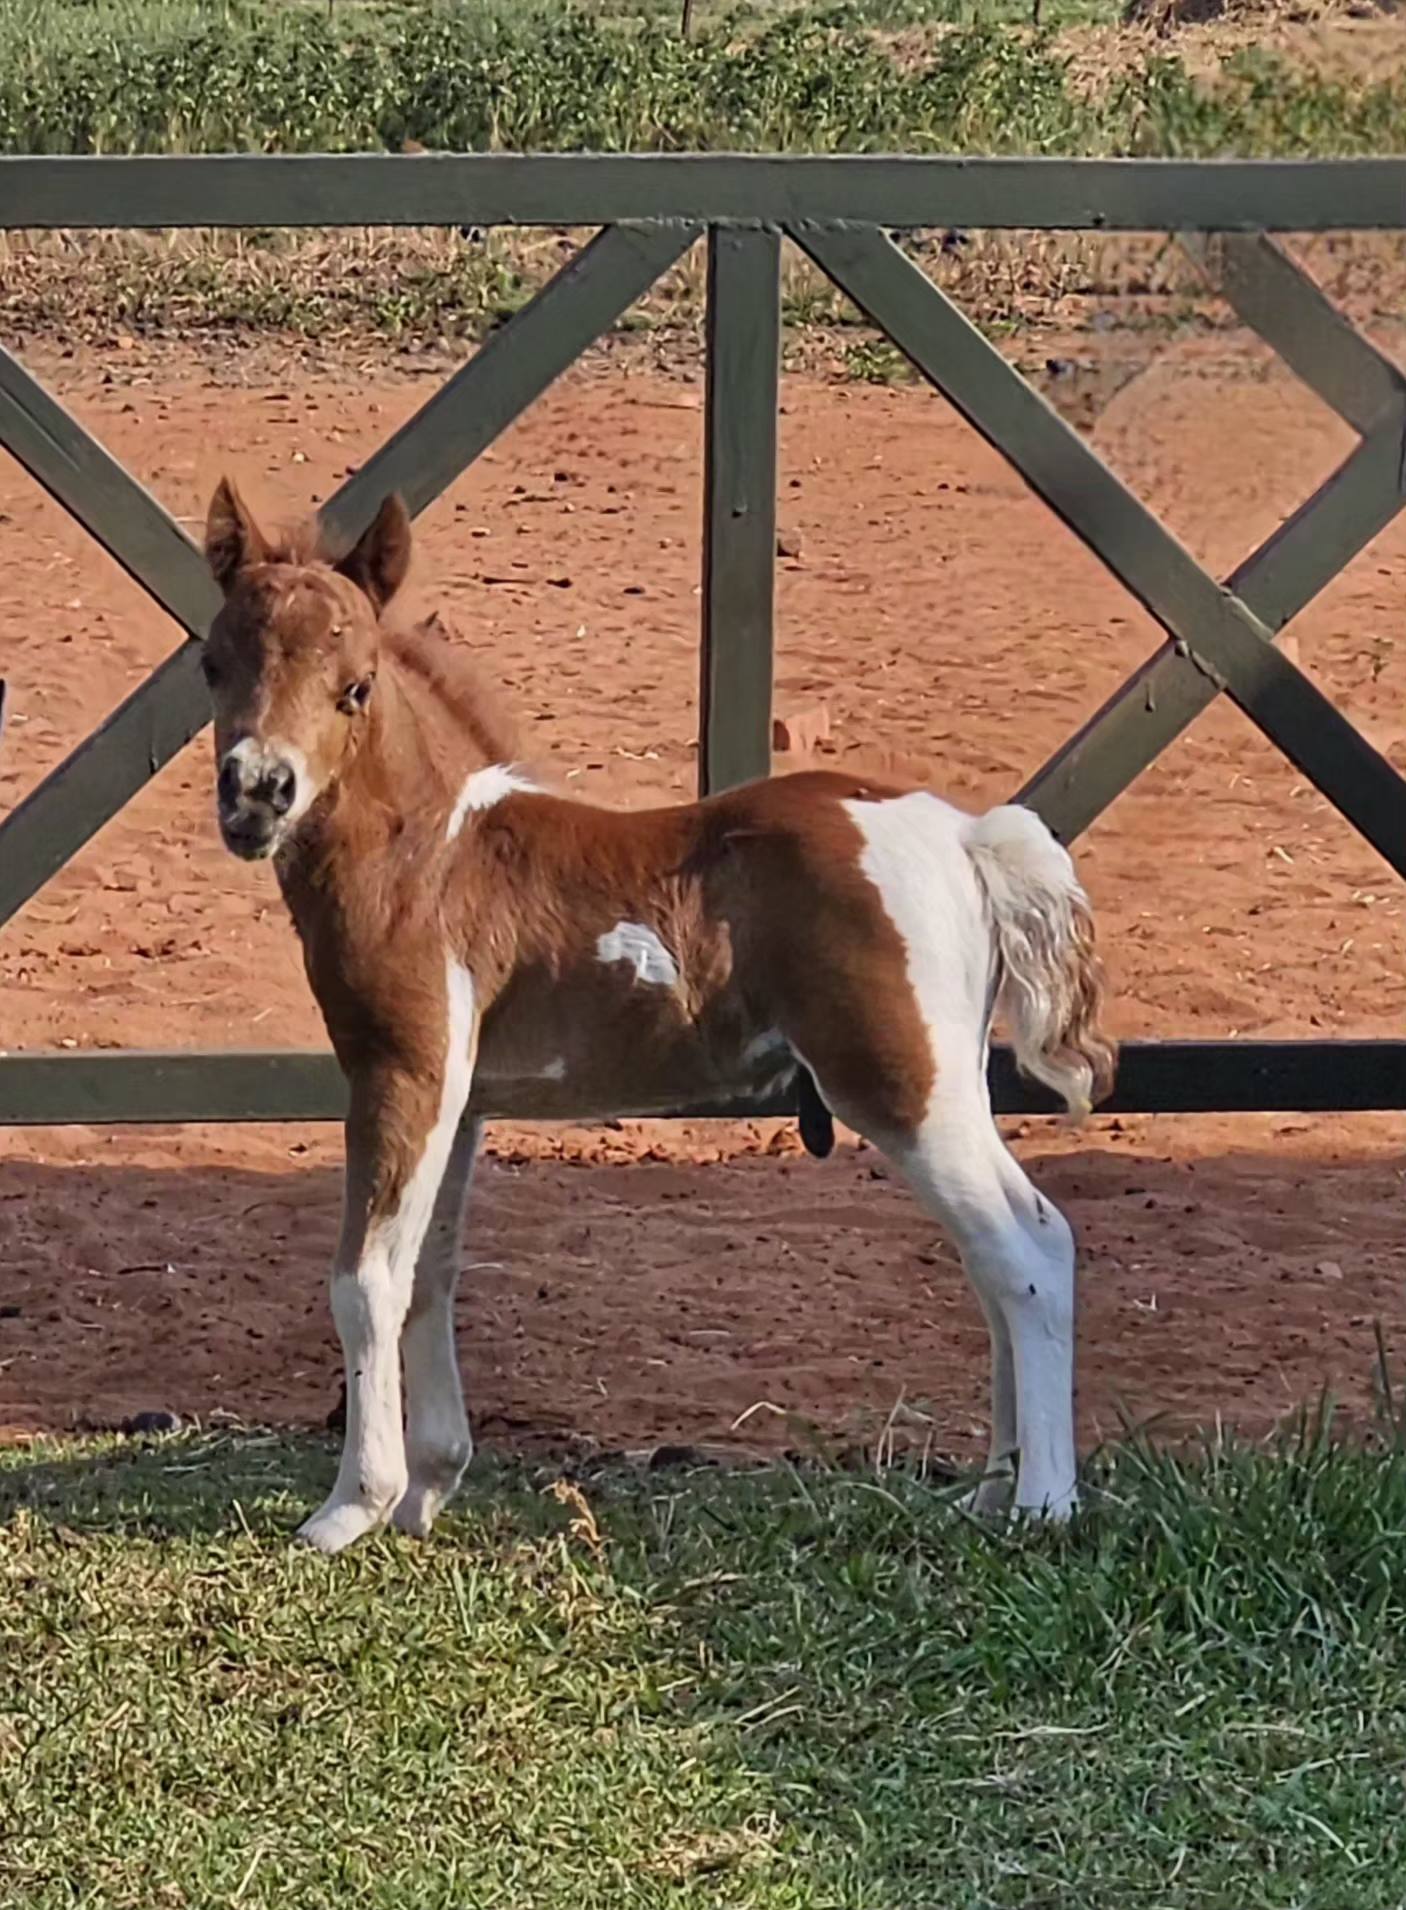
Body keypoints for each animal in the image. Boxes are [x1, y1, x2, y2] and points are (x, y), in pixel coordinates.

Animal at [200, 478, 1116, 1554]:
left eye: (355, 686)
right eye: (214, 665)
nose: (257, 794)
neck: (429, 861)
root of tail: (968, 836)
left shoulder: (403, 1072)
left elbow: (365, 1280)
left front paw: (352, 1506)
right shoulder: (461, 1101)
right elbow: (431, 1272)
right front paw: (430, 1488)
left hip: (901, 1085)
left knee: (1029, 1248)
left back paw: (1043, 1501)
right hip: (948, 1084)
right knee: (996, 1253)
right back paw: (992, 1485)